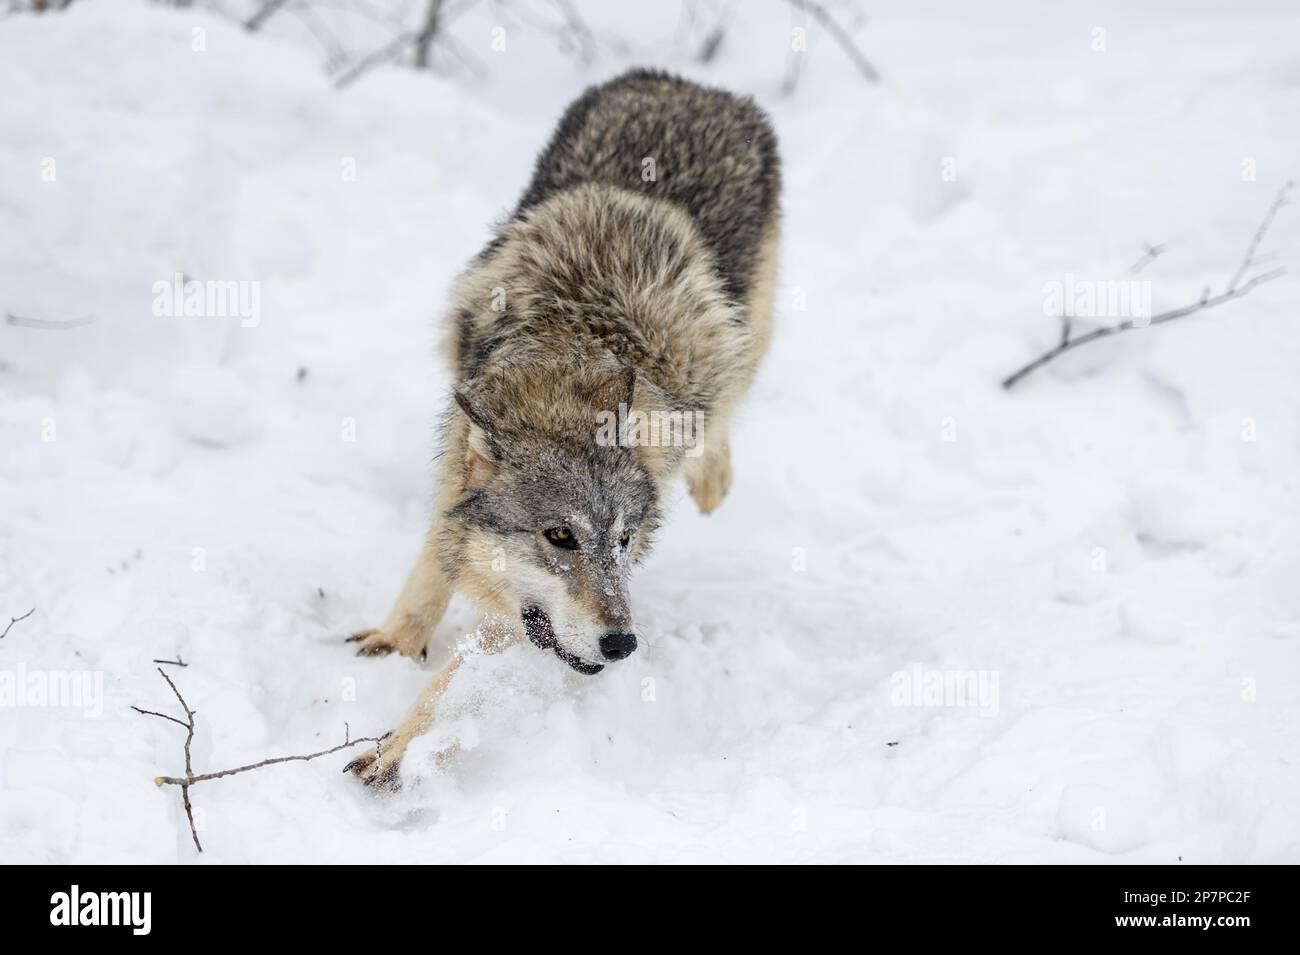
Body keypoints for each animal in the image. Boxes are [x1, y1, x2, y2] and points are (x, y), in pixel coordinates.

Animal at [344, 69, 780, 787]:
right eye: (559, 536)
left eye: (625, 539)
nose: (623, 643)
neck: (572, 348)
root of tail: (693, 84)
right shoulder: (456, 471)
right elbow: (434, 566)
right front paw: (393, 644)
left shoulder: (522, 616)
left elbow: (457, 683)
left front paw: (399, 747)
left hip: (746, 332)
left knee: (727, 407)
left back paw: (713, 479)